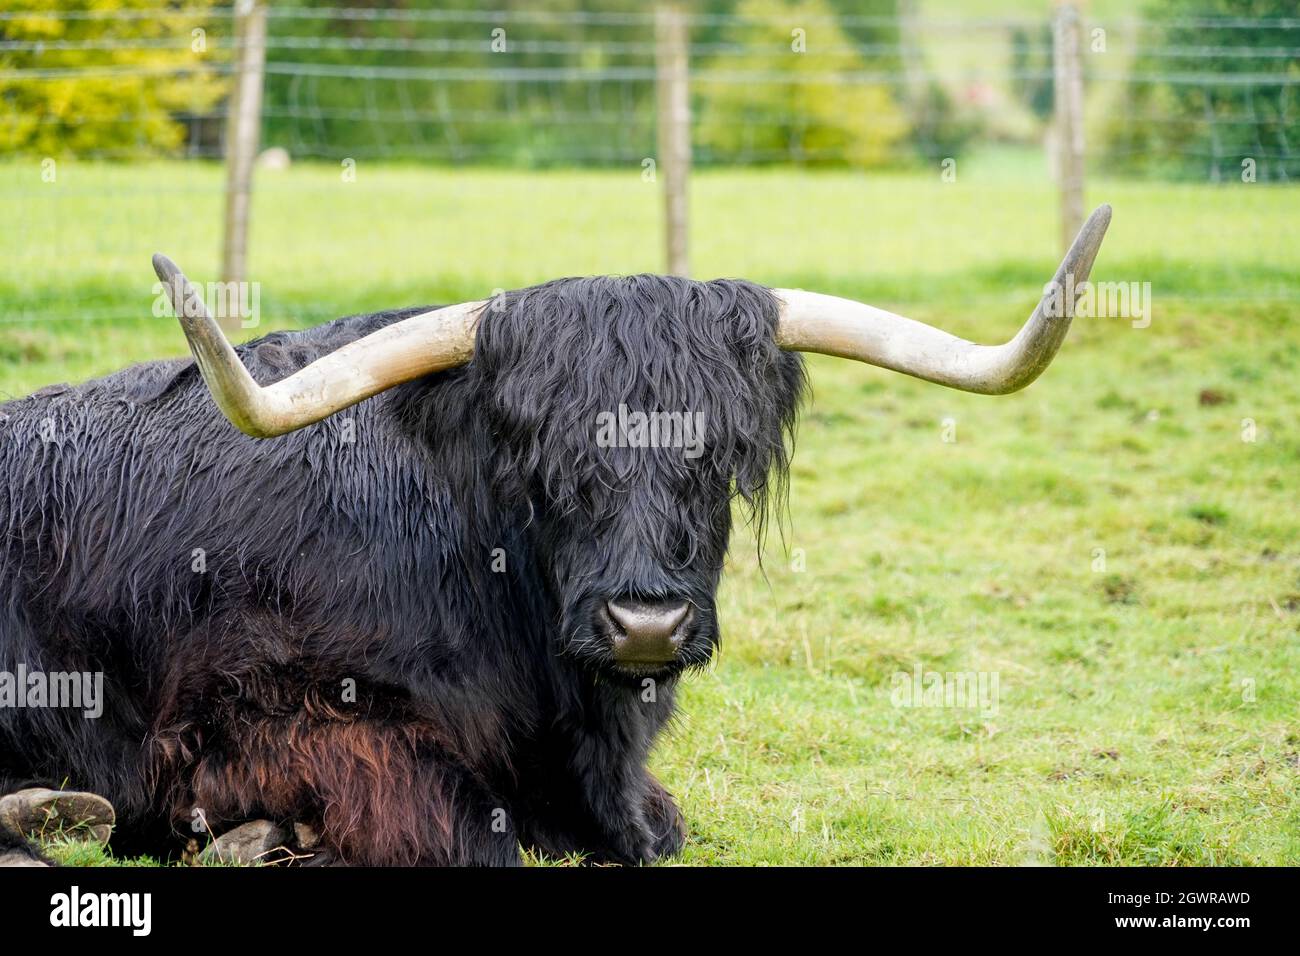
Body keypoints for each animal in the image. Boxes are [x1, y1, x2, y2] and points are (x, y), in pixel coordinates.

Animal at [0, 207, 1110, 866]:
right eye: (546, 464)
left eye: (718, 457)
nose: (645, 624)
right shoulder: (275, 717)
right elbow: (467, 833)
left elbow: (662, 827)